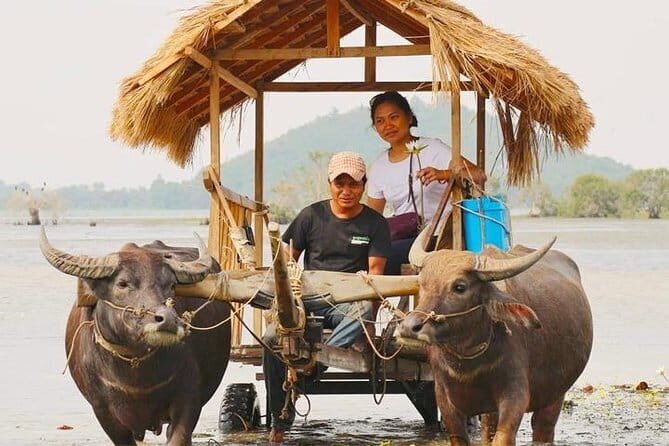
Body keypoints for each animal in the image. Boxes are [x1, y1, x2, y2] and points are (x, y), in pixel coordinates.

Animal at [398, 235, 592, 446]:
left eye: (459, 287)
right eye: (421, 282)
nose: (409, 327)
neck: (468, 365)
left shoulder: (514, 397)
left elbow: (503, 437)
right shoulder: (446, 402)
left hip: (555, 394)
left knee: (543, 429)